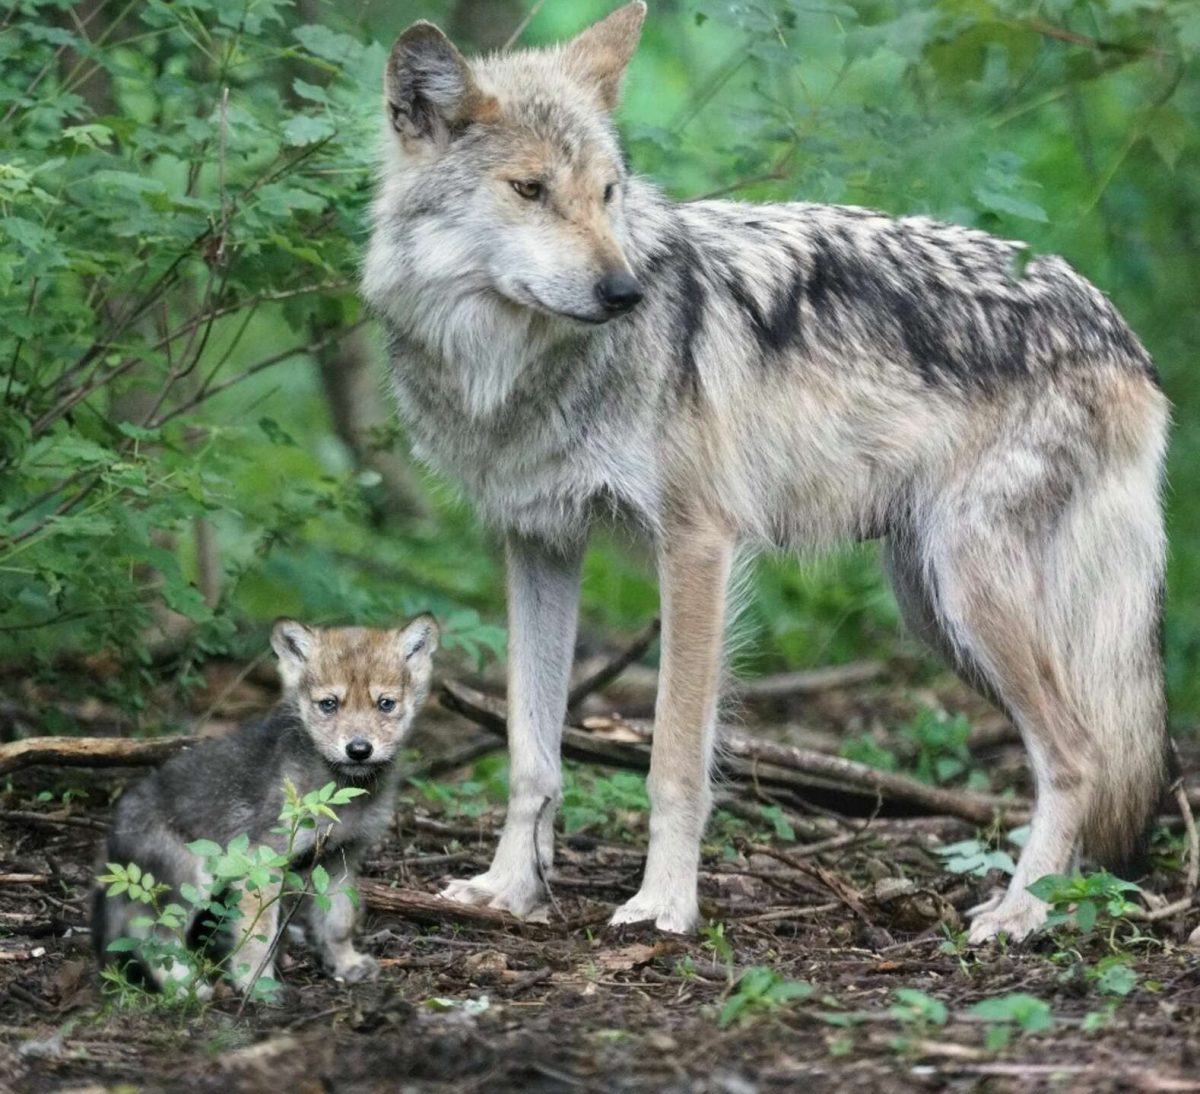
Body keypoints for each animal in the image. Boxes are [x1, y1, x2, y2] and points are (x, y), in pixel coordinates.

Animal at [93, 615, 438, 992]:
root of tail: (114, 829)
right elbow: (258, 934)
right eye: (329, 704)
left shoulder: (340, 859)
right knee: (151, 935)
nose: (359, 750)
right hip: (191, 879)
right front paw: (257, 987)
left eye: (385, 704)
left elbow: (338, 923)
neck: (341, 792)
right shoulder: (261, 861)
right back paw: (185, 988)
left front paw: (345, 964)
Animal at [361, 2, 1169, 943]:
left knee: (1080, 755)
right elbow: (531, 755)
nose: (626, 293)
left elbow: (674, 762)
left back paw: (1022, 914)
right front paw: (509, 890)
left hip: (972, 597)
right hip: (935, 609)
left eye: (608, 193)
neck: (511, 371)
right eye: (530, 190)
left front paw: (664, 906)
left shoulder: (697, 546)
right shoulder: (539, 547)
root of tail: (1119, 330)